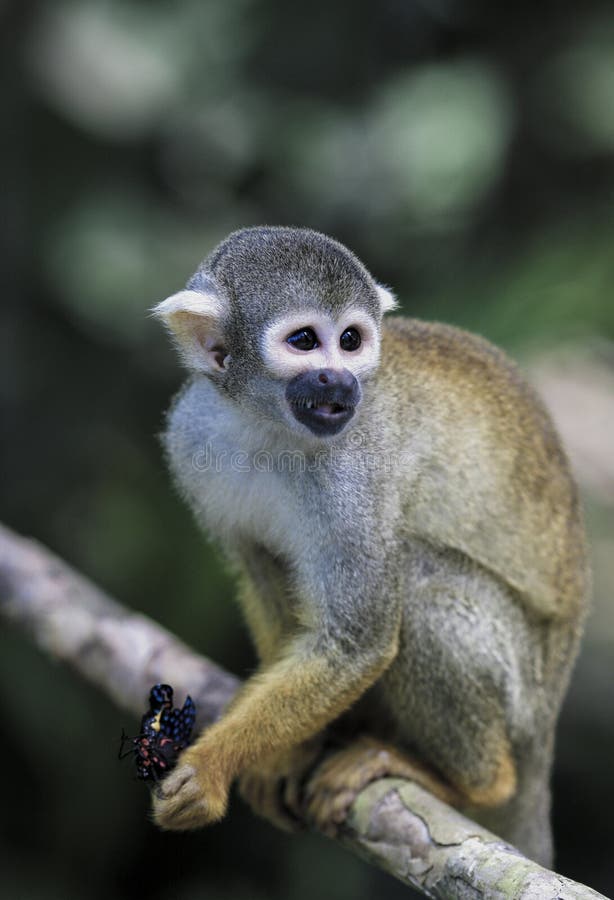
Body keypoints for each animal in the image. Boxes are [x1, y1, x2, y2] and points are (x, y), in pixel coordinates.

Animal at [151, 225, 589, 867]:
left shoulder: (353, 472)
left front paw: (211, 766)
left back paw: (474, 783)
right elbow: (262, 574)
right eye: (305, 341)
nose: (339, 379)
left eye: (351, 341)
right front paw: (280, 755)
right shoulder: (192, 433)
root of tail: (550, 727)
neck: (268, 428)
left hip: (524, 696)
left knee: (422, 589)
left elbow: (359, 637)